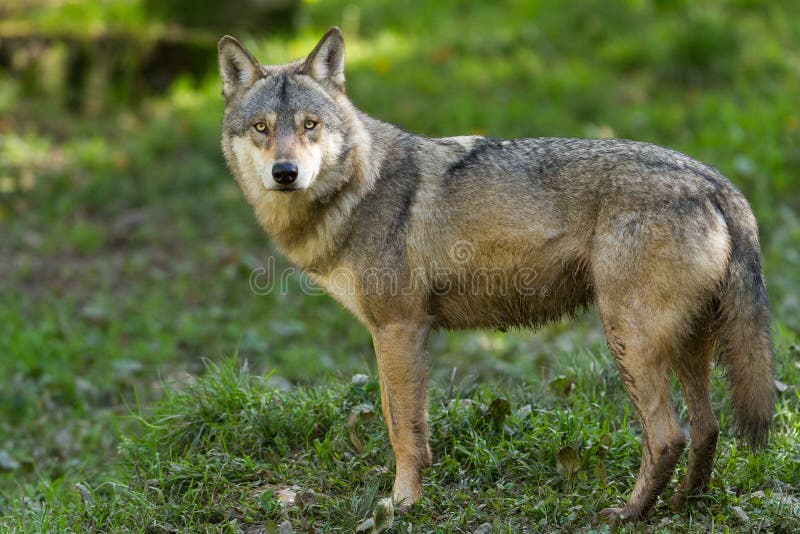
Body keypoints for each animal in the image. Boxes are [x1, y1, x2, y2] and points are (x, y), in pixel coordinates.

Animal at [217, 27, 773, 521]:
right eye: (262, 128)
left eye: (310, 125)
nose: (285, 173)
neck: (358, 187)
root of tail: (717, 183)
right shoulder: (397, 334)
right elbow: (405, 422)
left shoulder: (399, 329)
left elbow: (402, 431)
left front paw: (402, 505)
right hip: (684, 346)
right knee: (707, 429)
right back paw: (684, 505)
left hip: (629, 340)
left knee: (668, 436)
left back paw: (630, 513)